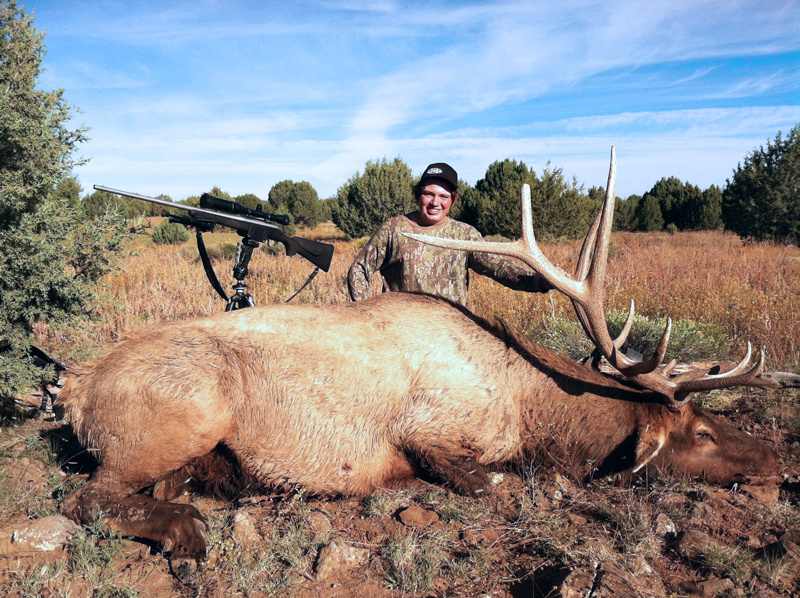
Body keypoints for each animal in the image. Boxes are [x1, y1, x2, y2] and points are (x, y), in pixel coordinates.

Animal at [31, 149, 786, 583]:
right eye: (701, 432)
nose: (778, 459)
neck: (533, 409)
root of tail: (74, 388)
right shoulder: (429, 433)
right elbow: (505, 488)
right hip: (185, 412)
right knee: (84, 499)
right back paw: (188, 533)